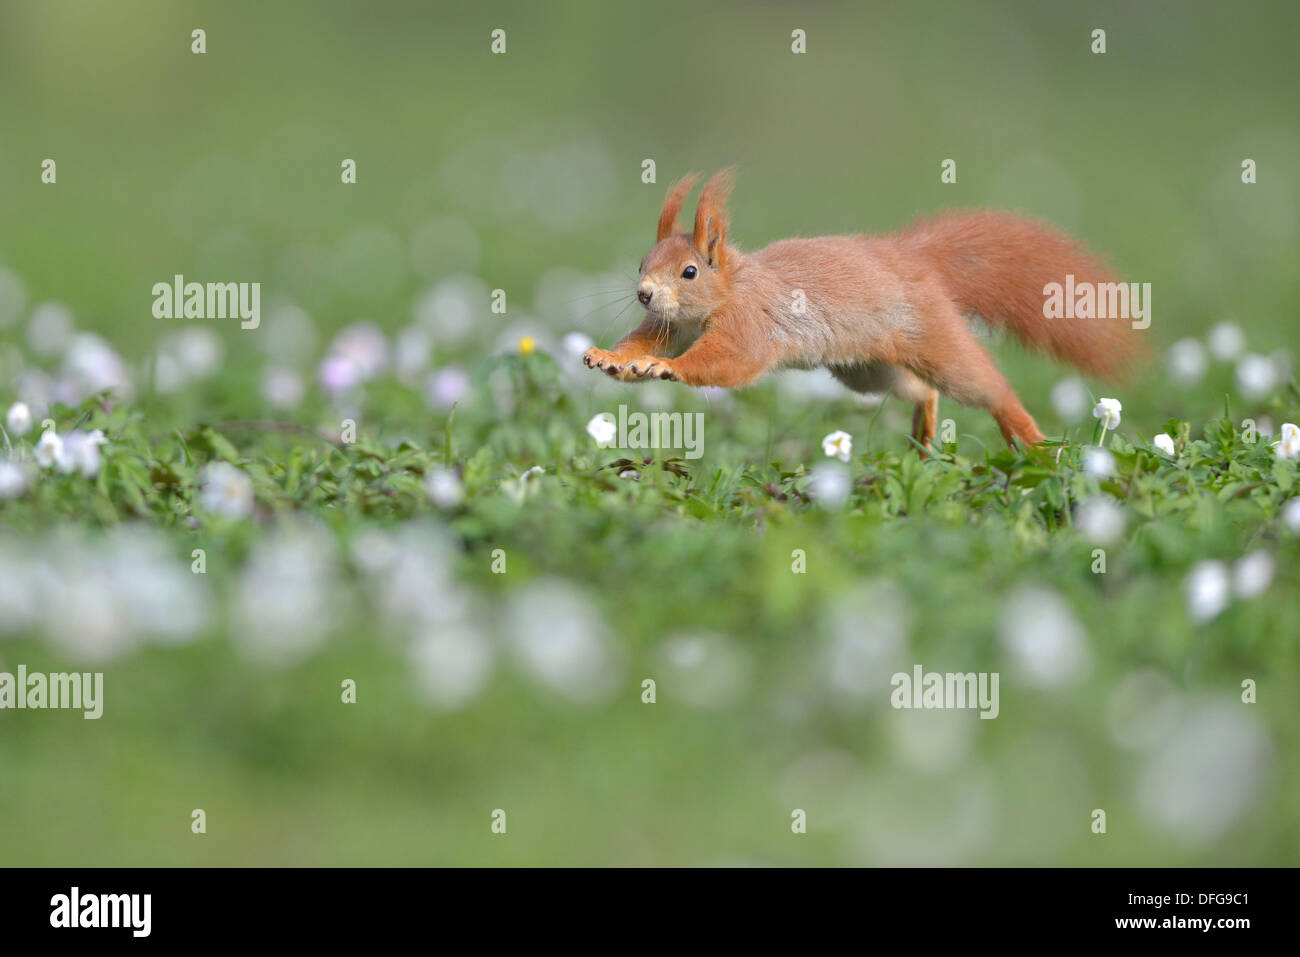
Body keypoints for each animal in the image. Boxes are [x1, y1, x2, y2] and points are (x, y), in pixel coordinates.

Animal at [582, 169, 1138, 448]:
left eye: (689, 272)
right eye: (643, 264)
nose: (644, 293)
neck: (731, 289)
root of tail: (910, 260)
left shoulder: (749, 325)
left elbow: (726, 362)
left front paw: (663, 366)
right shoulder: (671, 323)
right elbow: (642, 340)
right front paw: (613, 359)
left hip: (932, 336)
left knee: (983, 384)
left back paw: (1029, 437)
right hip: (868, 369)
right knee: (921, 391)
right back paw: (923, 436)